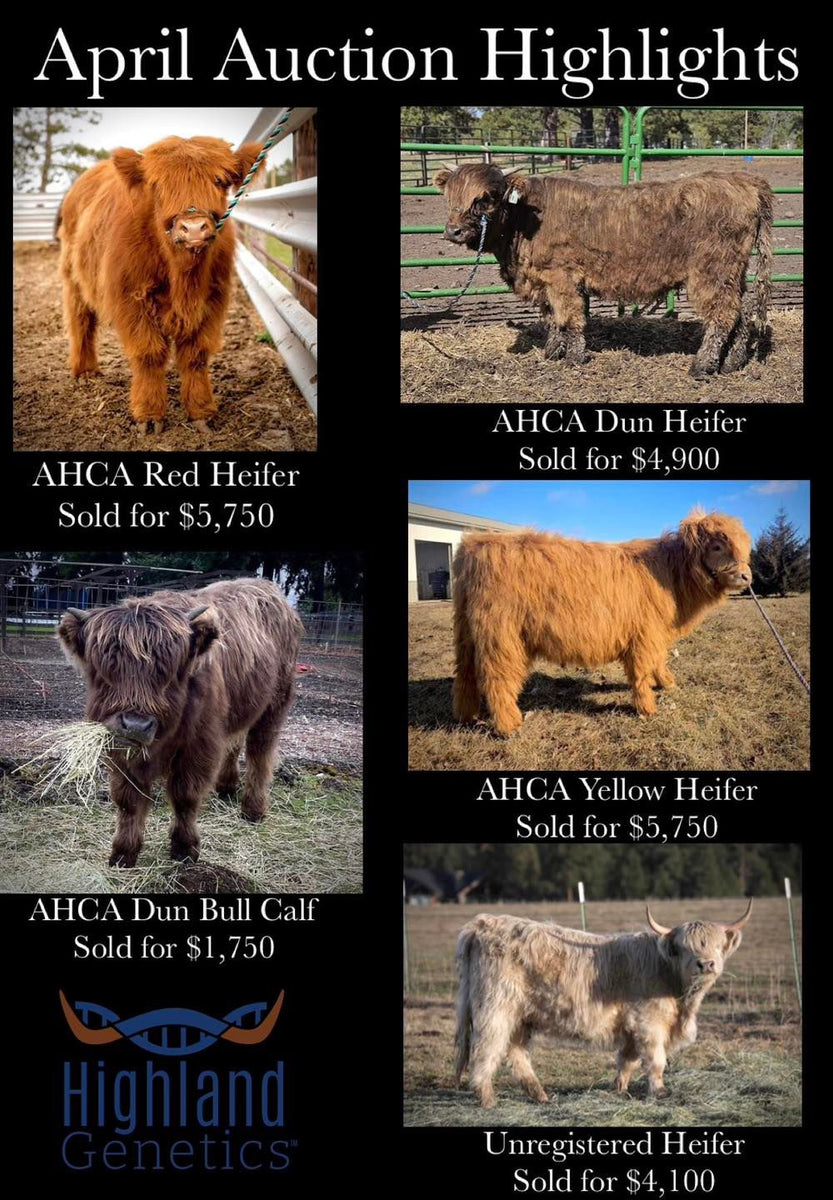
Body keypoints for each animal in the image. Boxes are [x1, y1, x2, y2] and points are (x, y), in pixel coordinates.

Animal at [56, 135, 265, 434]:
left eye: (219, 181)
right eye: (158, 185)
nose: (193, 228)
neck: (183, 277)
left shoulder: (212, 300)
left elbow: (196, 355)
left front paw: (201, 411)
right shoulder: (132, 298)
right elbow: (149, 354)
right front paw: (149, 415)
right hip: (73, 277)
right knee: (81, 320)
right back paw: (84, 372)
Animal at [58, 578, 302, 867]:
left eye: (169, 671)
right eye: (105, 668)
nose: (136, 725)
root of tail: (271, 589)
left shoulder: (199, 745)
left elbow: (185, 796)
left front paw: (185, 848)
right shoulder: (121, 751)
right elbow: (128, 800)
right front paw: (123, 852)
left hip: (274, 706)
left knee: (259, 755)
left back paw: (253, 810)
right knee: (235, 742)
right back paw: (226, 788)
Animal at [433, 164, 773, 378]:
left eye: (486, 198)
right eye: (449, 197)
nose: (453, 231)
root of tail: (742, 180)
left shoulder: (562, 278)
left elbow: (570, 318)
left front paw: (574, 357)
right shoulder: (546, 282)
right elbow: (552, 317)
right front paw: (552, 351)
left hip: (711, 273)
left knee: (722, 316)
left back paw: (702, 367)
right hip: (732, 274)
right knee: (741, 315)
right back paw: (732, 363)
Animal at [452, 508, 752, 733]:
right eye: (717, 546)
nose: (747, 577)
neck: (671, 574)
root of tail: (474, 545)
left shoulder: (654, 632)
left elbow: (658, 660)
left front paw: (667, 682)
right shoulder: (644, 634)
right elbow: (642, 670)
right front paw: (647, 708)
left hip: (467, 632)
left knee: (465, 674)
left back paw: (466, 716)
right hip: (502, 636)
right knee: (497, 678)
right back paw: (509, 725)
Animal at [455, 902, 752, 1107]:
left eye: (717, 946)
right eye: (685, 947)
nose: (706, 964)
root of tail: (485, 922)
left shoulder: (632, 1029)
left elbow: (627, 1062)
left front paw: (619, 1090)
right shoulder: (649, 1025)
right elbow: (656, 1062)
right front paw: (660, 1093)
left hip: (520, 1016)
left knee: (516, 1054)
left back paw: (540, 1095)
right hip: (495, 1009)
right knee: (486, 1050)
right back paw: (487, 1099)